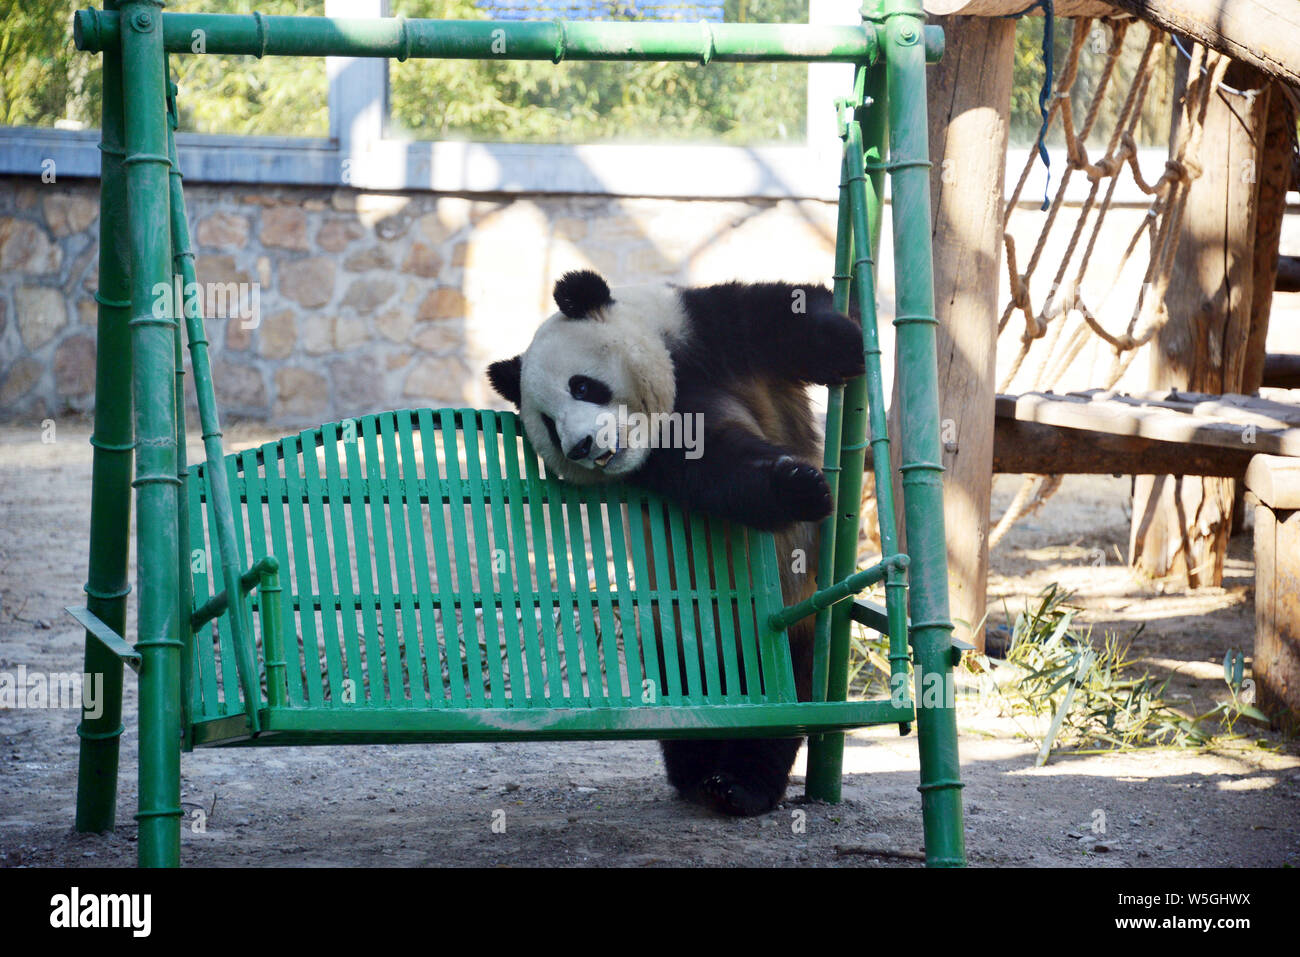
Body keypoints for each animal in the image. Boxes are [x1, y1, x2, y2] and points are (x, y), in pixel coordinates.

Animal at [488, 268, 865, 816]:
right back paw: (709, 775)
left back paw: (735, 784)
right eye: (551, 427)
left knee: (796, 679)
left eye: (582, 386)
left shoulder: (700, 329)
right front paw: (798, 487)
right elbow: (724, 475)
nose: (581, 446)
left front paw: (848, 342)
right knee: (691, 681)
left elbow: (790, 311)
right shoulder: (661, 462)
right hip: (680, 619)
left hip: (801, 613)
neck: (670, 397)